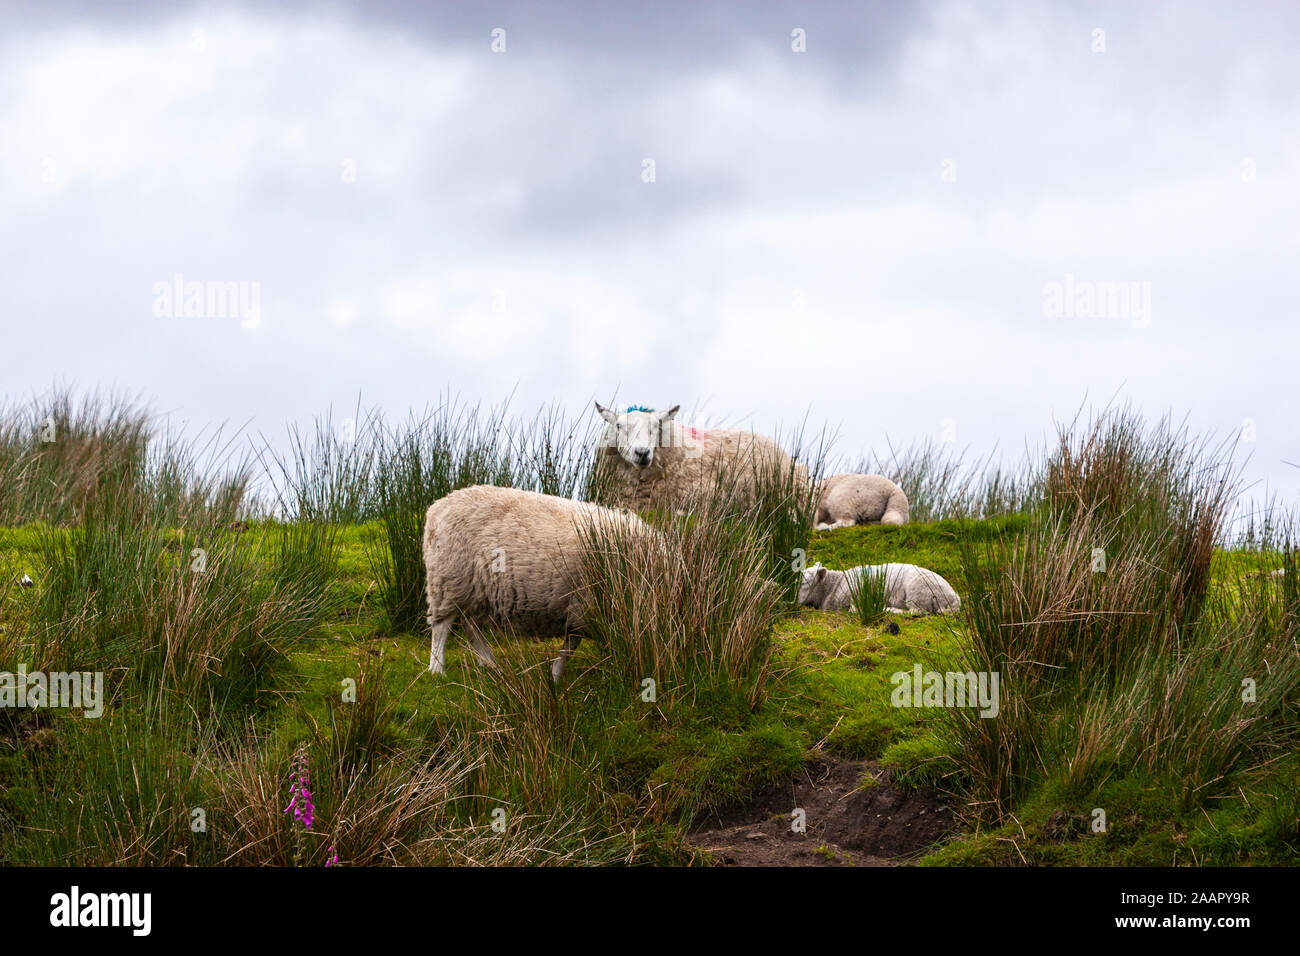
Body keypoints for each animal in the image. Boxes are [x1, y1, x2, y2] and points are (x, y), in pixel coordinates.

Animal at [423, 484, 655, 681]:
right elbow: (571, 645)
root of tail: (438, 506)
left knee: (471, 627)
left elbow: (571, 642)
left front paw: (555, 674)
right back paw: (437, 669)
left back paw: (491, 664)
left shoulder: (579, 609)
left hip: (477, 590)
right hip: (449, 578)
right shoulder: (586, 605)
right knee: (442, 627)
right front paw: (556, 674)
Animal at [797, 562, 961, 615]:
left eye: (804, 583)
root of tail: (954, 598)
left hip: (918, 592)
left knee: (917, 612)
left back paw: (889, 609)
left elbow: (854, 610)